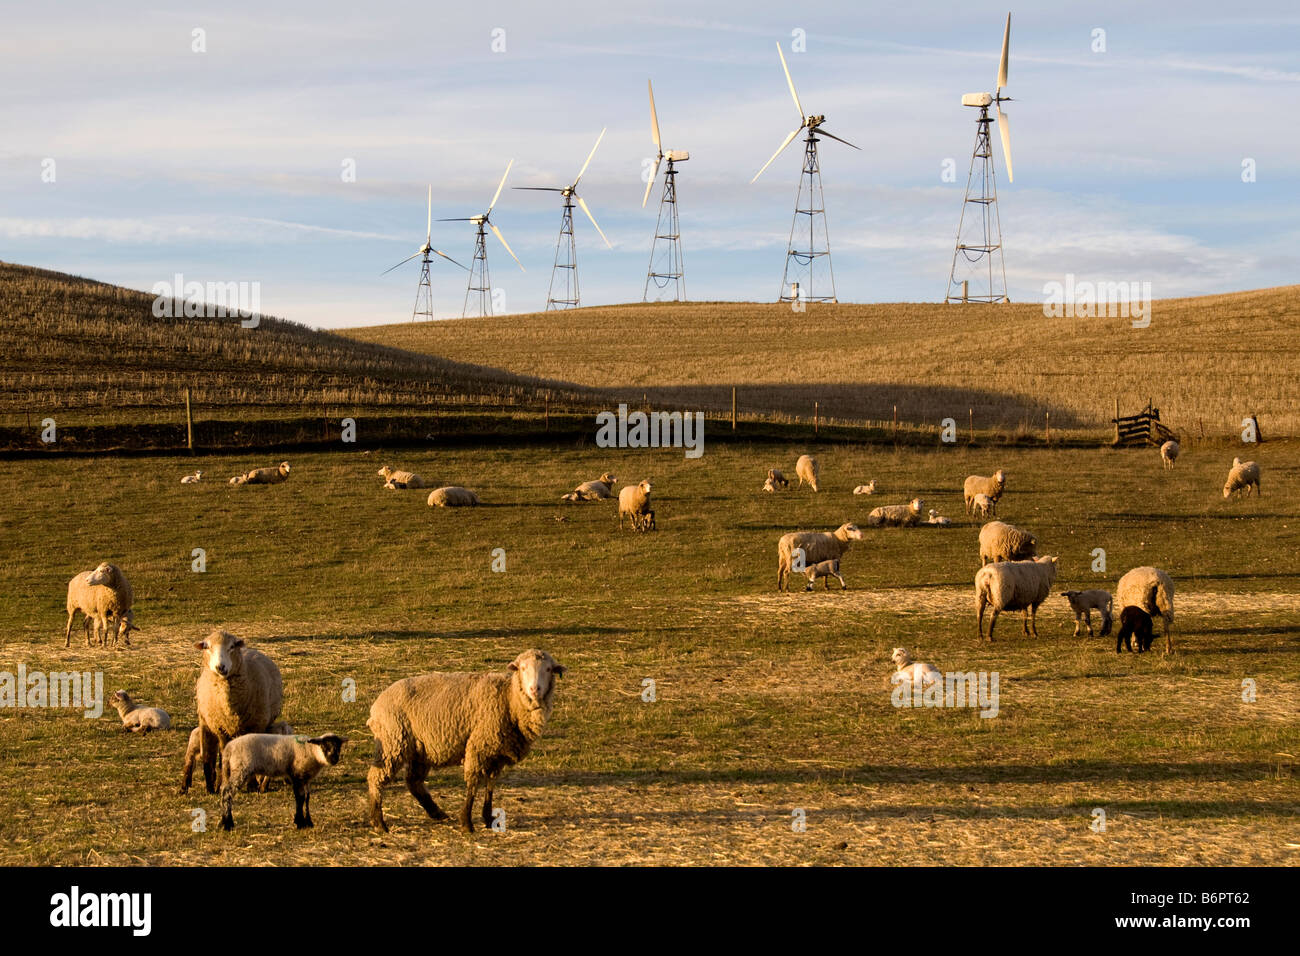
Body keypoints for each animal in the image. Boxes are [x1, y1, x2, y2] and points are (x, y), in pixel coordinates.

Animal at [181, 629, 284, 795]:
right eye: (207, 647)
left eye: (232, 646)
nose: (220, 667)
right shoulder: (220, 728)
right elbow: (222, 754)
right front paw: (223, 783)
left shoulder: (255, 725)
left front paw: (251, 785)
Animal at [218, 732, 349, 831]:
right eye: (325, 746)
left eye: (339, 747)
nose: (334, 759)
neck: (311, 751)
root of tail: (229, 748)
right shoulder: (297, 776)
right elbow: (300, 798)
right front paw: (300, 822)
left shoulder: (305, 778)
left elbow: (307, 798)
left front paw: (308, 822)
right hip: (241, 769)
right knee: (227, 793)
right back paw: (228, 824)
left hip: (231, 771)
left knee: (223, 790)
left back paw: (223, 822)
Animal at [366, 648, 566, 834]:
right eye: (523, 668)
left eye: (548, 669)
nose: (534, 689)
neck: (509, 698)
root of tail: (376, 705)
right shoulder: (479, 745)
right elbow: (473, 784)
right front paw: (467, 822)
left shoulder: (497, 753)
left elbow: (490, 785)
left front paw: (488, 817)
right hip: (393, 743)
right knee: (375, 778)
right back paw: (379, 822)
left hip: (419, 749)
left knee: (413, 781)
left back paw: (437, 813)